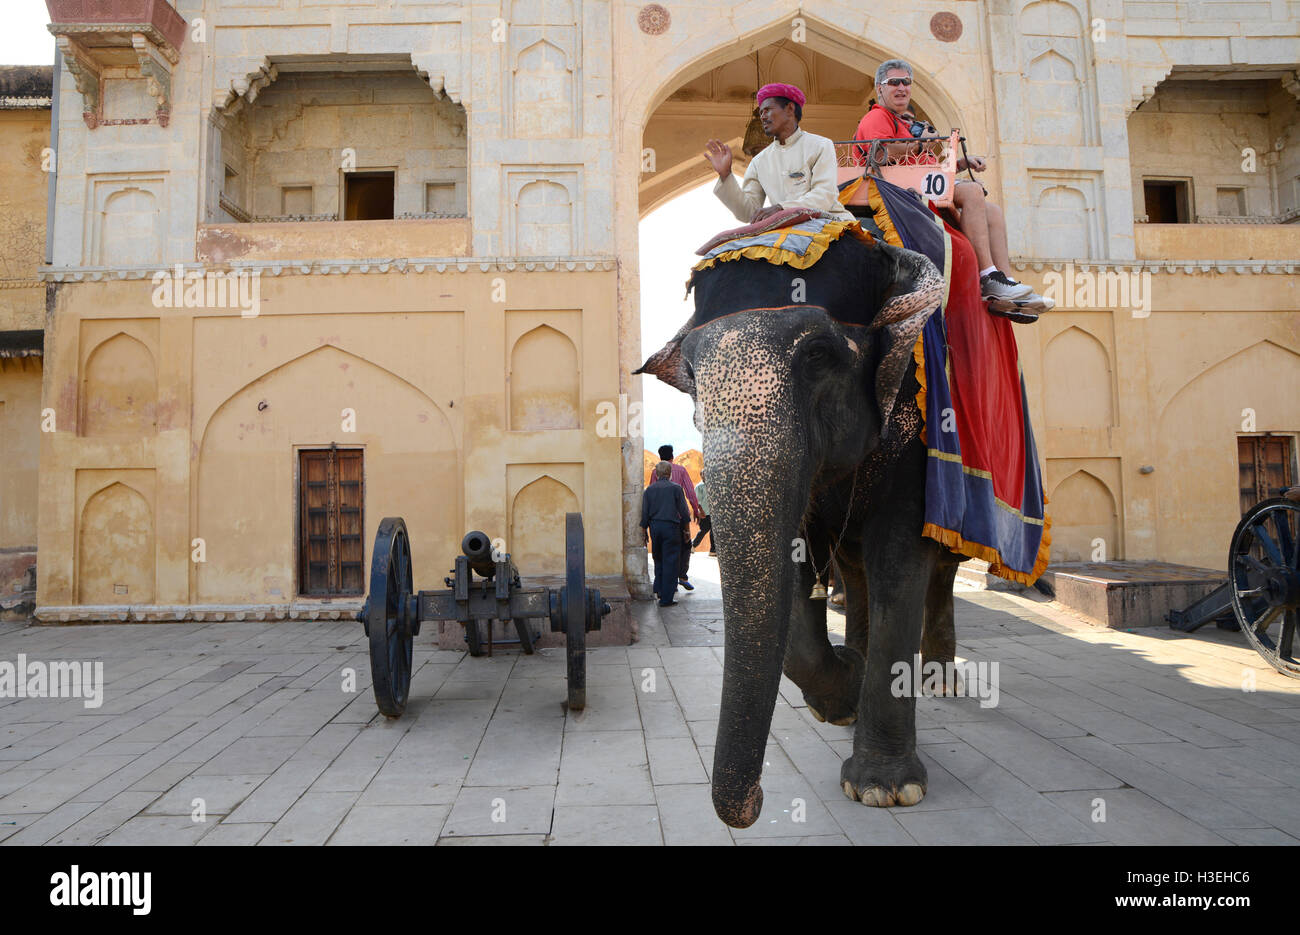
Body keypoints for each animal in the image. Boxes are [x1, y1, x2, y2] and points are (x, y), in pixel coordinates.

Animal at [636, 231, 966, 829]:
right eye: (690, 376)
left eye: (818, 355)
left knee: (939, 563)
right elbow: (797, 569)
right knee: (855, 571)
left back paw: (938, 682)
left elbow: (900, 558)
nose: (755, 803)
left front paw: (886, 790)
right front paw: (841, 693)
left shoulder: (917, 418)